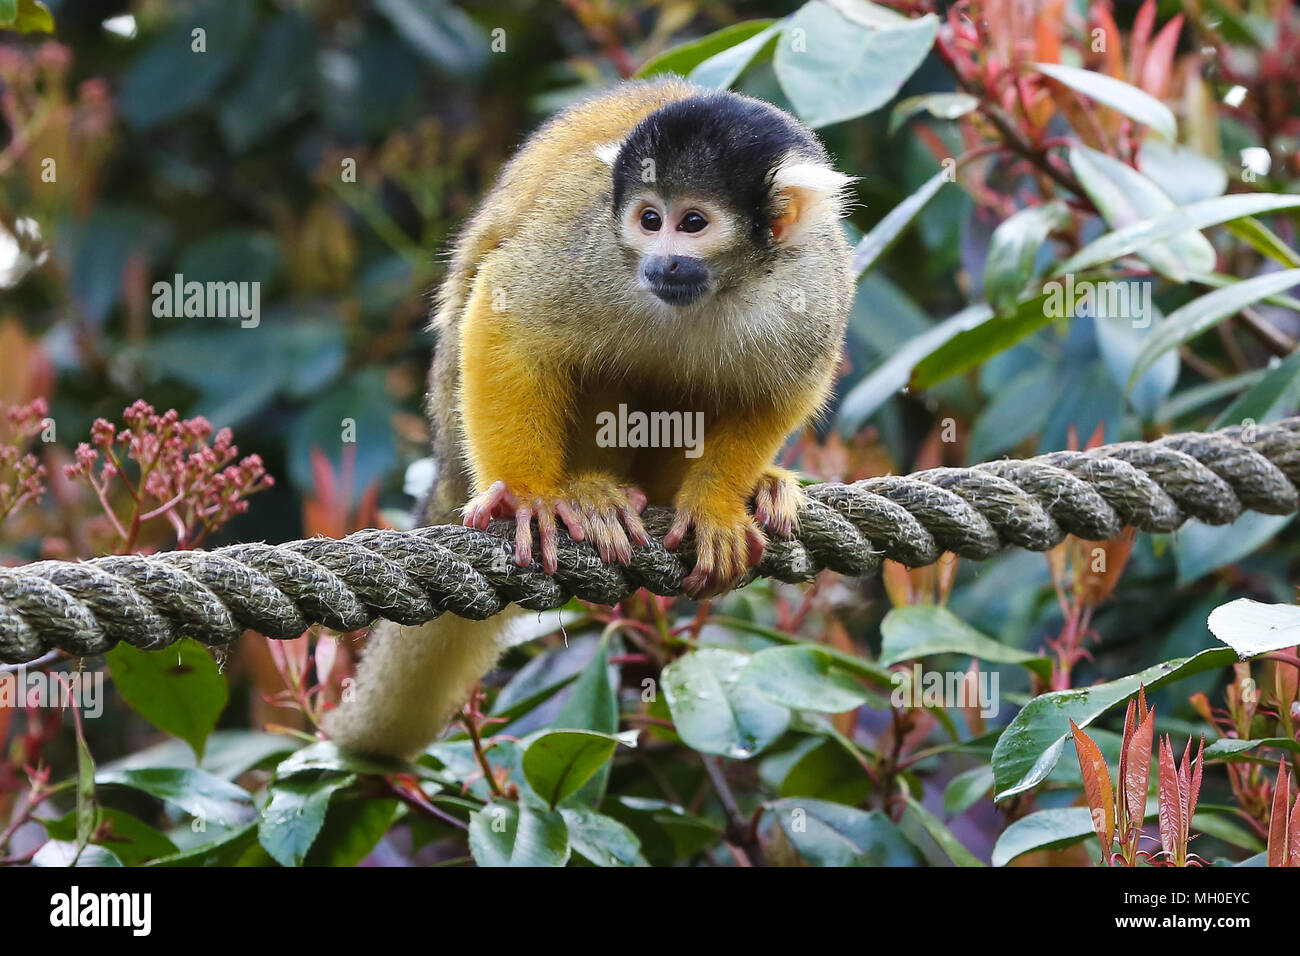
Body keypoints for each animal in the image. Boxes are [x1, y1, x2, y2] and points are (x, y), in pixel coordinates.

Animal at [324, 77, 855, 758]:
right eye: (649, 220)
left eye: (693, 223)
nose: (661, 262)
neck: (722, 286)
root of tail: (443, 452)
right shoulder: (596, 249)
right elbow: (509, 311)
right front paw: (528, 496)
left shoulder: (813, 283)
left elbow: (783, 388)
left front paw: (715, 504)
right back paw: (587, 492)